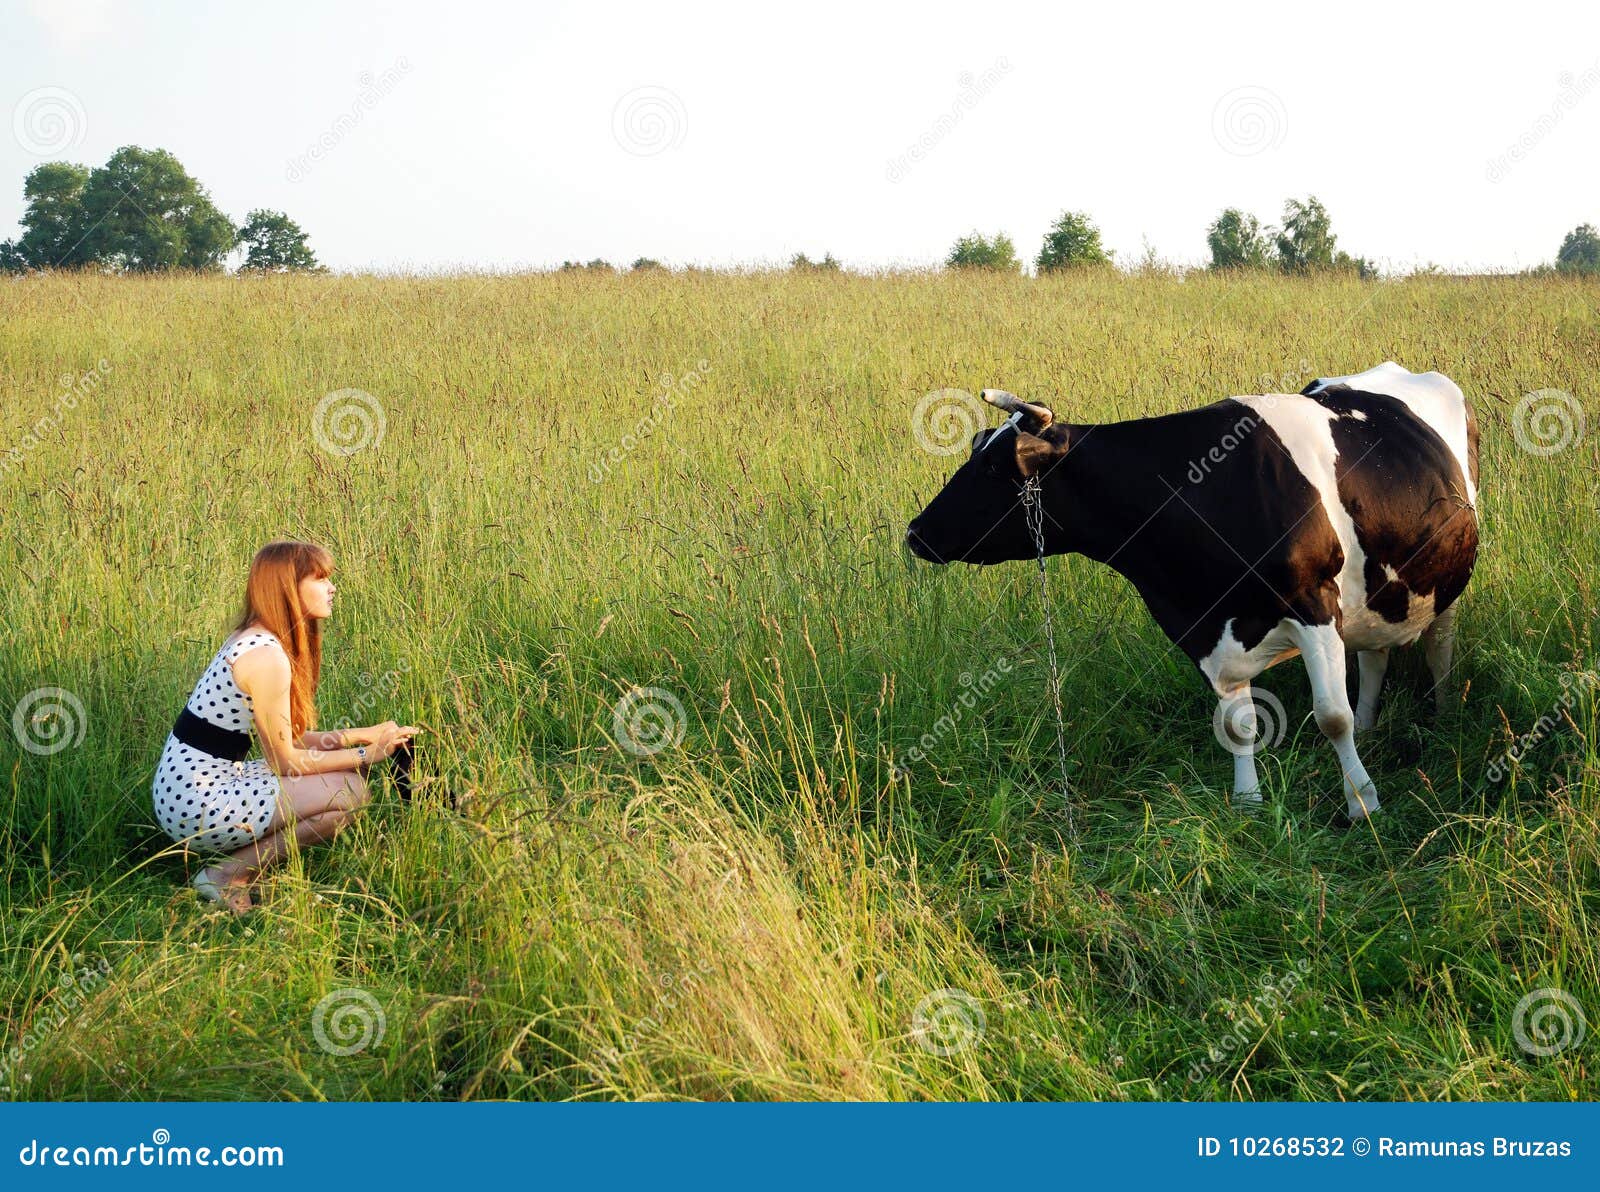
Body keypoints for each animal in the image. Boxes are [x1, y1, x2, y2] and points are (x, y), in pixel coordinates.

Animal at [904, 361, 1480, 823]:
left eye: (994, 466)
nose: (916, 532)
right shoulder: (1203, 629)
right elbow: (1239, 725)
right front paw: (1247, 802)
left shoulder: (1314, 605)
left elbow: (1330, 716)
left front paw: (1363, 802)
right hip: (1375, 593)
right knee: (1375, 654)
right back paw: (1369, 728)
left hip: (1447, 578)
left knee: (1439, 647)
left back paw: (1445, 716)